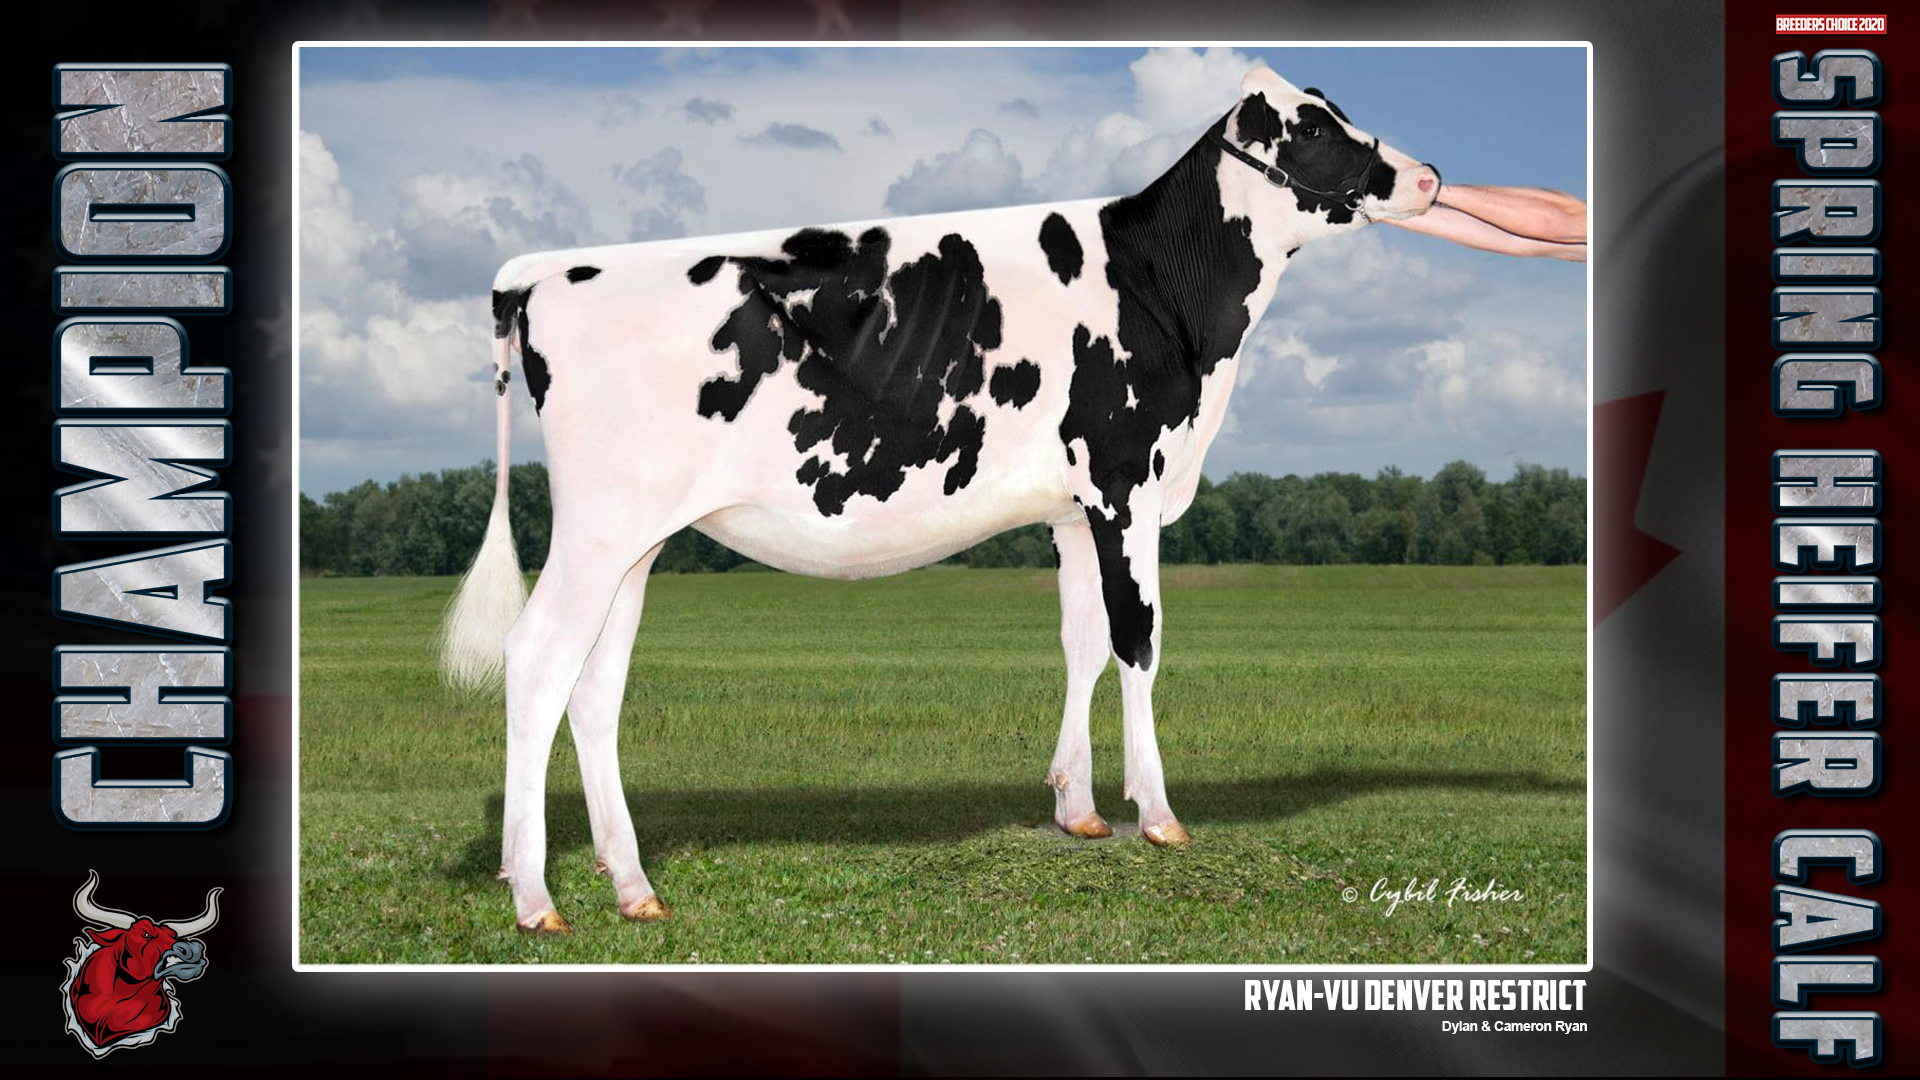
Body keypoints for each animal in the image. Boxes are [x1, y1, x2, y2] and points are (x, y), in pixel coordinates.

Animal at [441, 65, 1442, 933]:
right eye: (1312, 128)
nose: (1427, 176)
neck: (1165, 288)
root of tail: (545, 276)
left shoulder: (1072, 509)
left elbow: (1081, 642)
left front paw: (1078, 809)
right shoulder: (1127, 481)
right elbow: (1138, 642)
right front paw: (1157, 815)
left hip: (633, 542)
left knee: (594, 684)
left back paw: (632, 884)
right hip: (600, 529)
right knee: (537, 659)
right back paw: (536, 897)